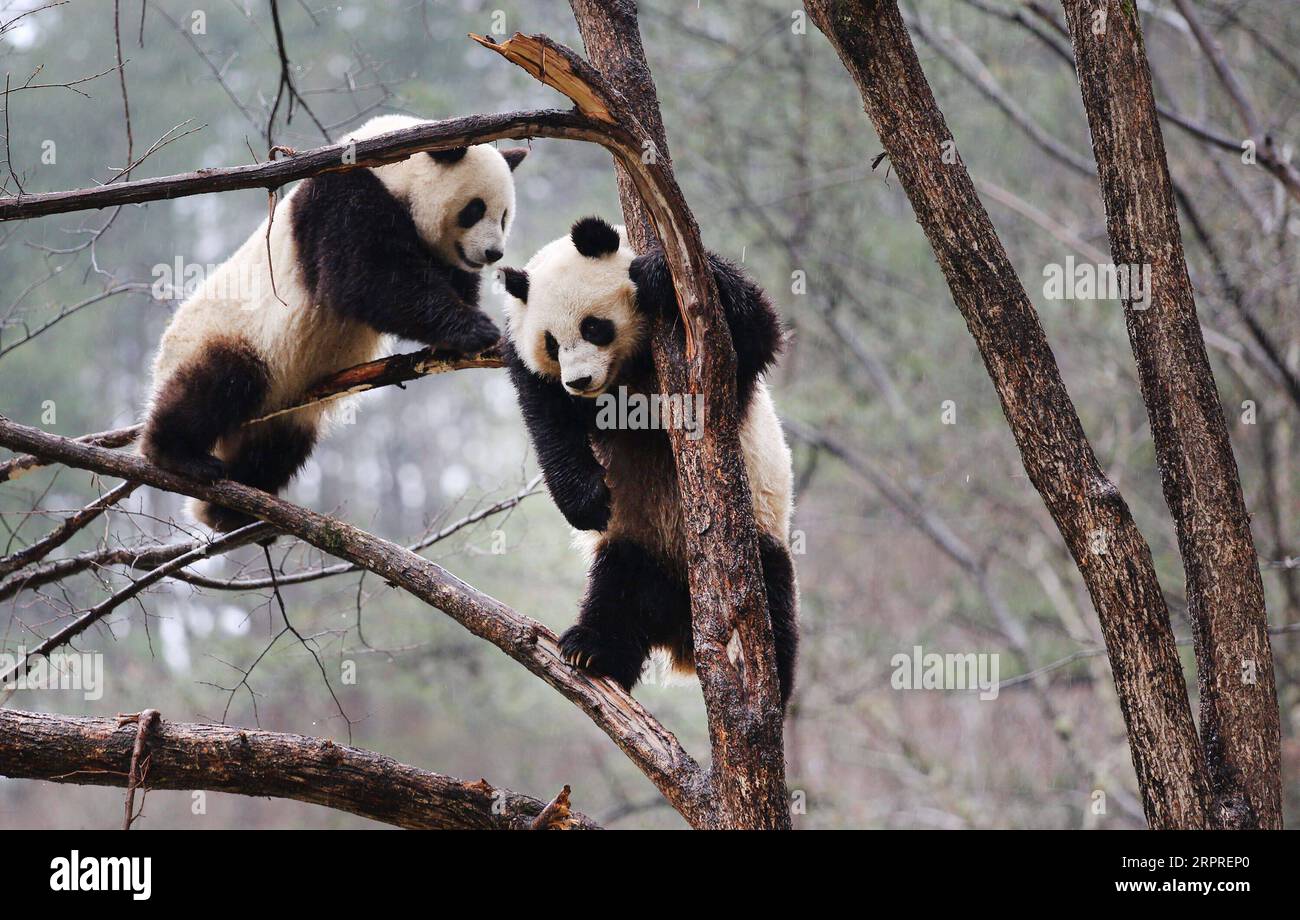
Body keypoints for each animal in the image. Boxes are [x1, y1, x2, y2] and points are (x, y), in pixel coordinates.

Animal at [141, 114, 527, 531]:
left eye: (505, 216)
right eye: (475, 209)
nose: (493, 253)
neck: (391, 169)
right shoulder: (342, 197)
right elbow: (365, 277)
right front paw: (476, 329)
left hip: (287, 409)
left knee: (277, 444)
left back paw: (231, 510)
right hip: (226, 334)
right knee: (217, 382)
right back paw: (177, 456)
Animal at [499, 216, 798, 706]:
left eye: (594, 327)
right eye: (552, 343)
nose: (579, 380)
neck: (627, 371)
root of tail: (682, 635)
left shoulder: (711, 355)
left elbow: (751, 328)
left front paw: (658, 273)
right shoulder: (529, 366)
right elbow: (548, 421)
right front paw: (587, 503)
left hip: (758, 538)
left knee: (774, 602)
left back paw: (774, 687)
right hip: (639, 543)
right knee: (618, 592)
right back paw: (593, 650)